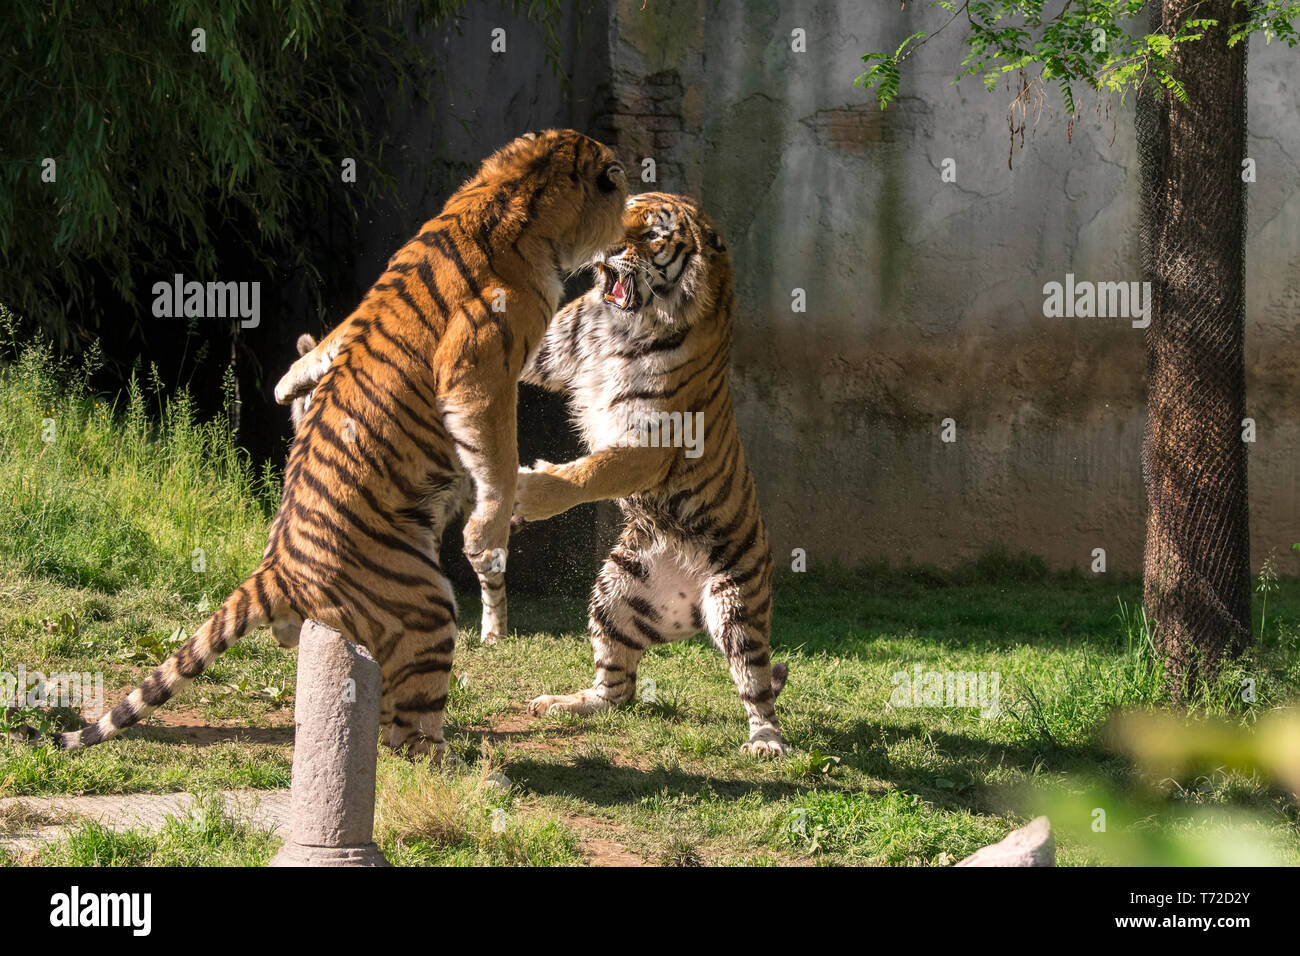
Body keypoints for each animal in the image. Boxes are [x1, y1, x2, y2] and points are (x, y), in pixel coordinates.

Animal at [22, 129, 629, 758]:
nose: (630, 224)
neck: (511, 193)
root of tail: (276, 569)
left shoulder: (363, 321)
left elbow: (321, 350)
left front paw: (291, 383)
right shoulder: (478, 373)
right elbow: (498, 458)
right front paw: (490, 531)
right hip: (428, 607)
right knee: (407, 734)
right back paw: (463, 766)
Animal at [514, 192, 788, 757]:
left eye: (654, 234)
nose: (607, 245)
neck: (625, 323)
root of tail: (690, 609)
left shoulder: (648, 442)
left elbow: (590, 472)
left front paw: (530, 492)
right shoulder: (552, 348)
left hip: (738, 605)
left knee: (754, 683)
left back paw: (766, 741)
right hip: (617, 592)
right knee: (617, 688)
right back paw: (564, 704)